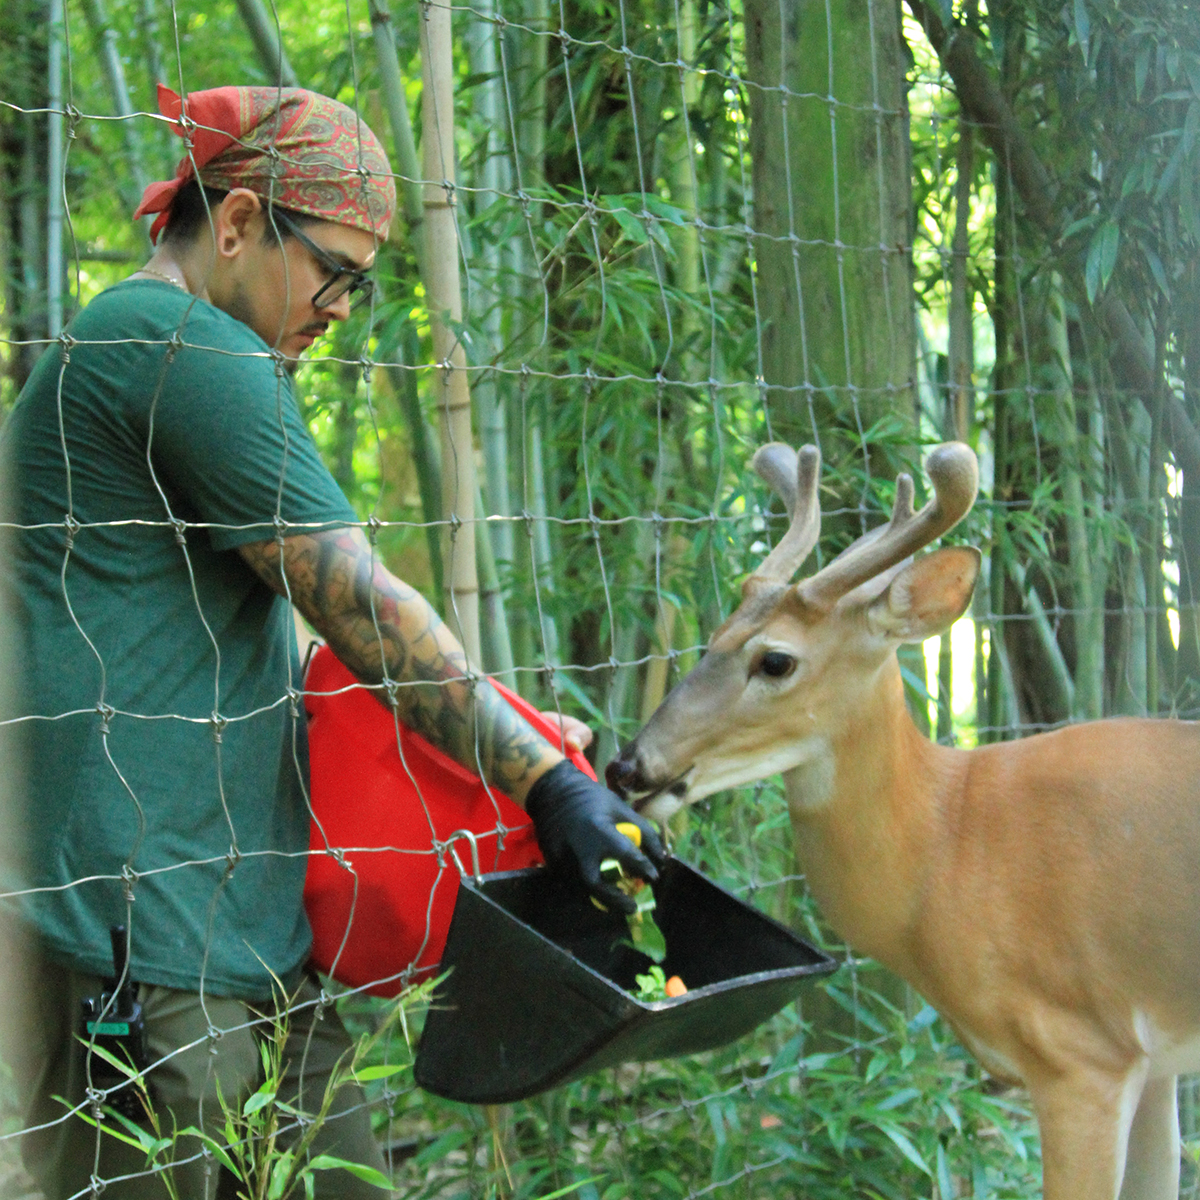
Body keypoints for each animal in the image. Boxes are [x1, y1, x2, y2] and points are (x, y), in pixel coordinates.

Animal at [606, 440, 1200, 1200]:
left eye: (776, 660)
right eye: (708, 638)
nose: (628, 767)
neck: (954, 846)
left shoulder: (1082, 1053)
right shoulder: (1154, 1063)